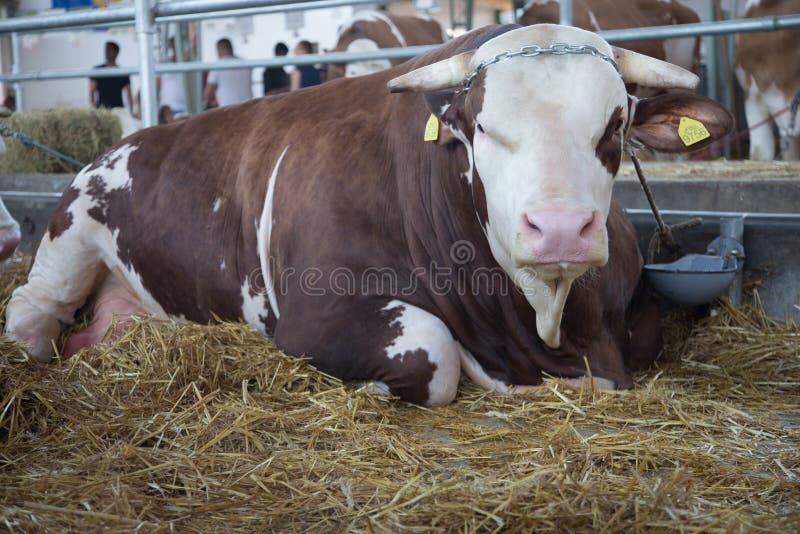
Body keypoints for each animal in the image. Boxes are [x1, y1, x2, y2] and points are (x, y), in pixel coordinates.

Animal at [5, 24, 733, 405]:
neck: (545, 334)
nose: (558, 229)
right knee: (31, 311)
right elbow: (434, 353)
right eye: (478, 127)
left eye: (617, 124)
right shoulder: (310, 319)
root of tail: (120, 144)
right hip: (70, 238)